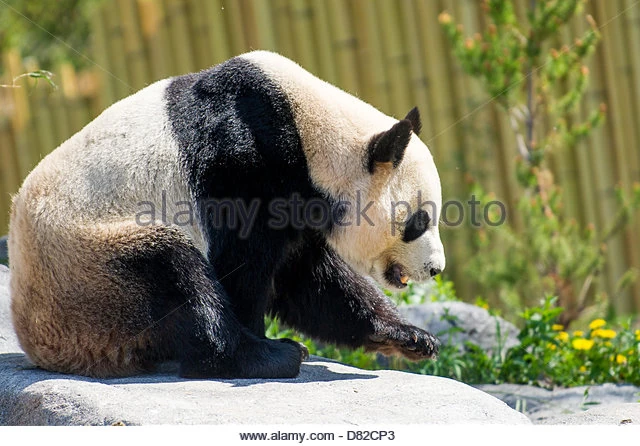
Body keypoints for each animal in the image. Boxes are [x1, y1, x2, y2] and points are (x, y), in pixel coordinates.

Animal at [8, 51, 445, 379]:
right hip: (91, 269)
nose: (436, 269)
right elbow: (244, 268)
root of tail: (42, 346)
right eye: (418, 222)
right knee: (174, 276)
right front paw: (263, 340)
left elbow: (309, 279)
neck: (308, 131)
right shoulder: (242, 164)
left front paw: (410, 337)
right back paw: (267, 356)